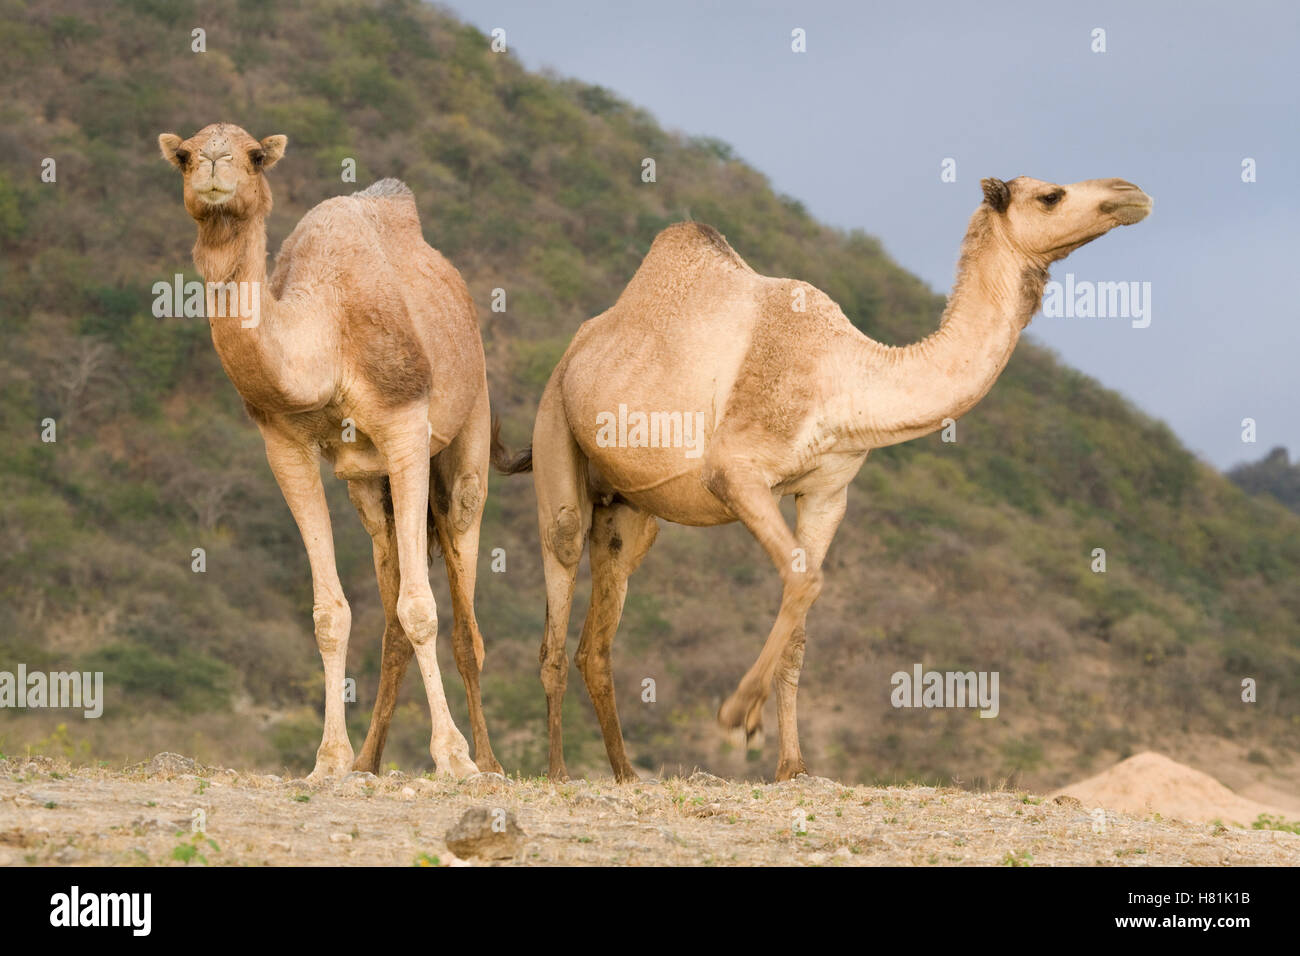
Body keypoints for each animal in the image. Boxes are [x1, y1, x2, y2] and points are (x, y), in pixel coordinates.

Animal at [158, 123, 503, 781]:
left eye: (254, 157)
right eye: (184, 156)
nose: (213, 165)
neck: (327, 339)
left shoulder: (405, 424)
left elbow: (423, 609)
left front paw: (452, 758)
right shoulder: (284, 443)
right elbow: (330, 613)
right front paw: (329, 760)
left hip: (470, 432)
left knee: (465, 607)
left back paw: (489, 759)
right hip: (369, 487)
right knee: (391, 600)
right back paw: (370, 759)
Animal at [504, 175, 1152, 782]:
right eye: (1051, 195)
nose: (1132, 194)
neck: (847, 379)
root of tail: (578, 346)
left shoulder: (826, 492)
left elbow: (802, 618)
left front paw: (792, 765)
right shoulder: (734, 471)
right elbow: (806, 580)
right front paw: (739, 714)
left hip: (629, 508)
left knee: (597, 639)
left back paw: (625, 774)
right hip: (555, 425)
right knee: (558, 589)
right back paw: (558, 770)